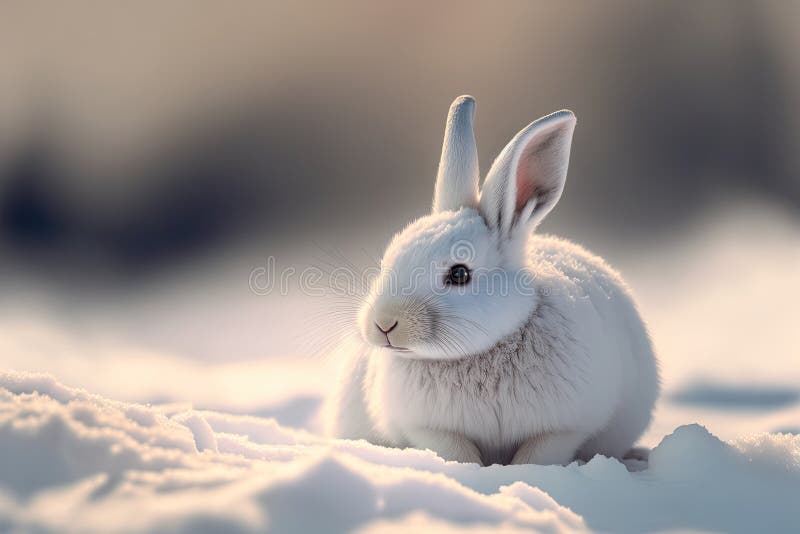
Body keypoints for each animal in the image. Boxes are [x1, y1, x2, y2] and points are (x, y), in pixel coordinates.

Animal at [323, 95, 659, 466]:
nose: (384, 323)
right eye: (387, 260)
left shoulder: (563, 428)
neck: (483, 349)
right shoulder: (430, 429)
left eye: (459, 273)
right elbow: (457, 452)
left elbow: (538, 455)